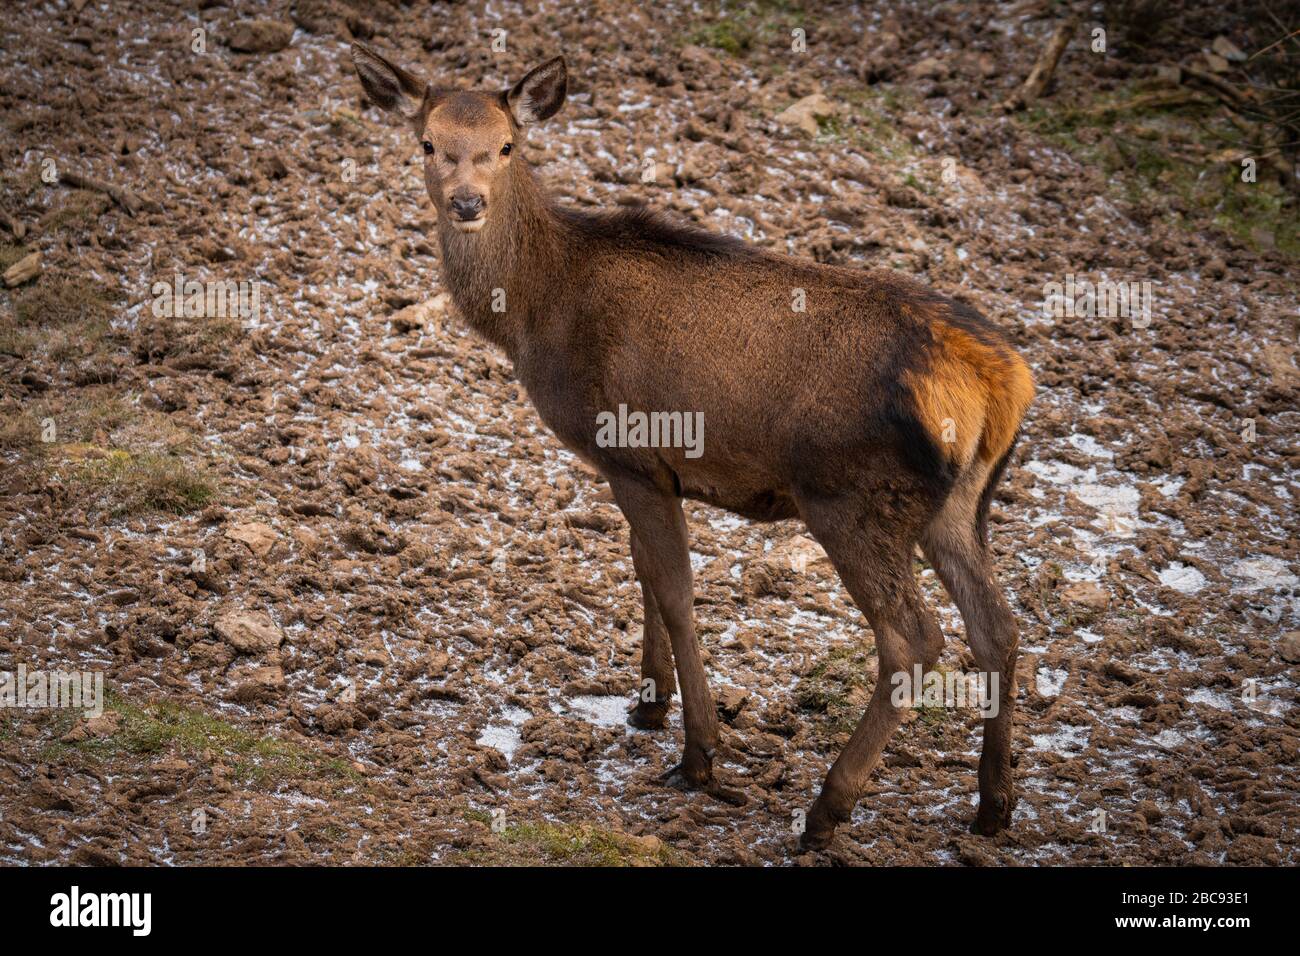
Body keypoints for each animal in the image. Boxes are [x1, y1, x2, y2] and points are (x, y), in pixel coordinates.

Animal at [350, 41, 1035, 851]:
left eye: (507, 145)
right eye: (428, 143)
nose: (465, 203)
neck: (537, 312)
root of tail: (1001, 381)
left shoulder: (631, 452)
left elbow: (676, 590)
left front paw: (700, 754)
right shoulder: (644, 469)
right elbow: (644, 571)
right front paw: (647, 703)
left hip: (852, 497)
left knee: (915, 640)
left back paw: (826, 808)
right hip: (958, 504)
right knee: (998, 625)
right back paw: (993, 804)